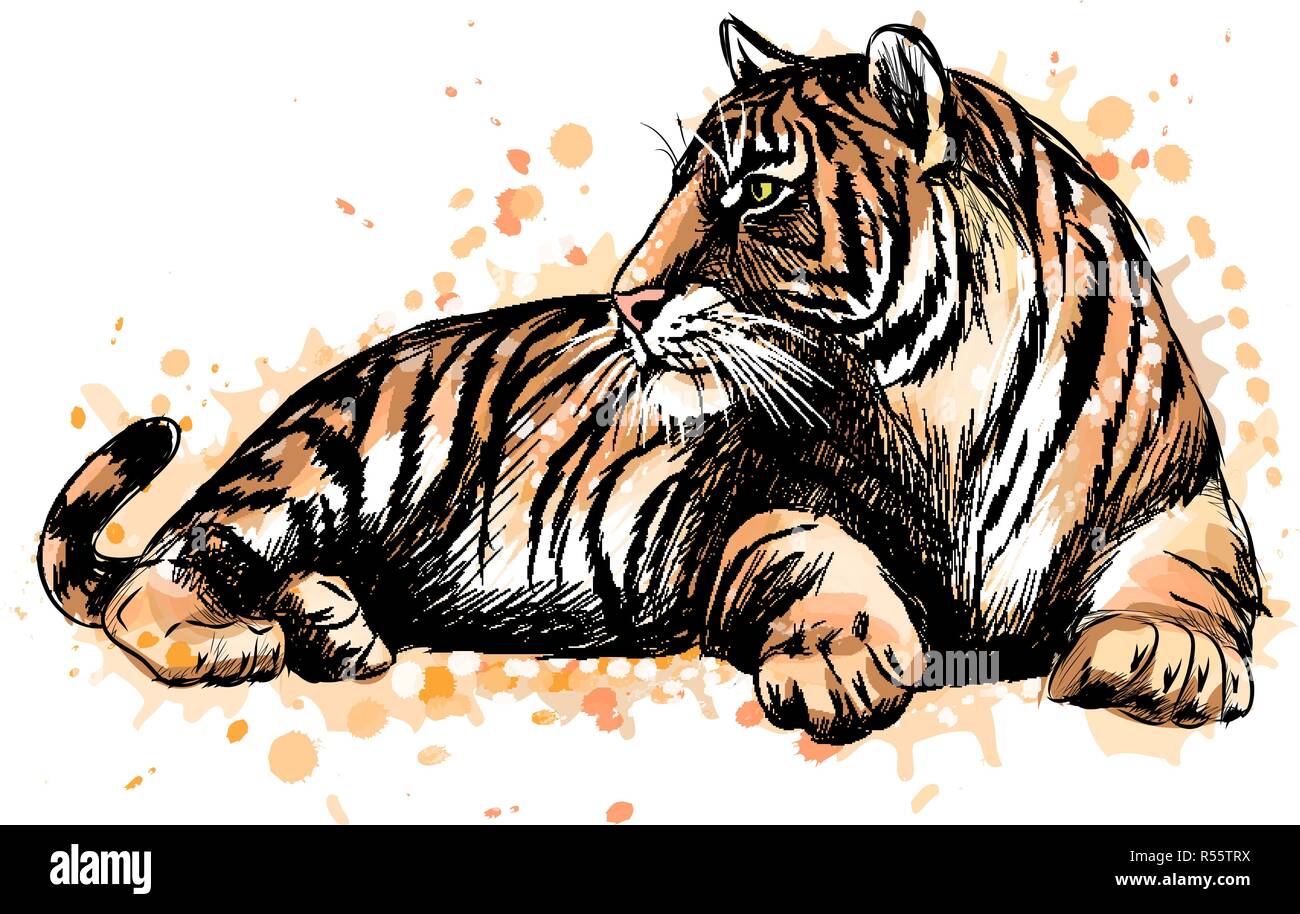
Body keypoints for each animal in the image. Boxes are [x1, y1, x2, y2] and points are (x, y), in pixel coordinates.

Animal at [39, 18, 1262, 744]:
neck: (944, 397)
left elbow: (1187, 578)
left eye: (757, 189)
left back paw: (337, 626)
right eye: (680, 183)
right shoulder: (769, 506)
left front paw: (1166, 657)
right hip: (326, 458)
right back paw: (235, 641)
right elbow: (824, 566)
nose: (625, 300)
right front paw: (839, 662)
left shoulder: (1188, 501)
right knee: (165, 567)